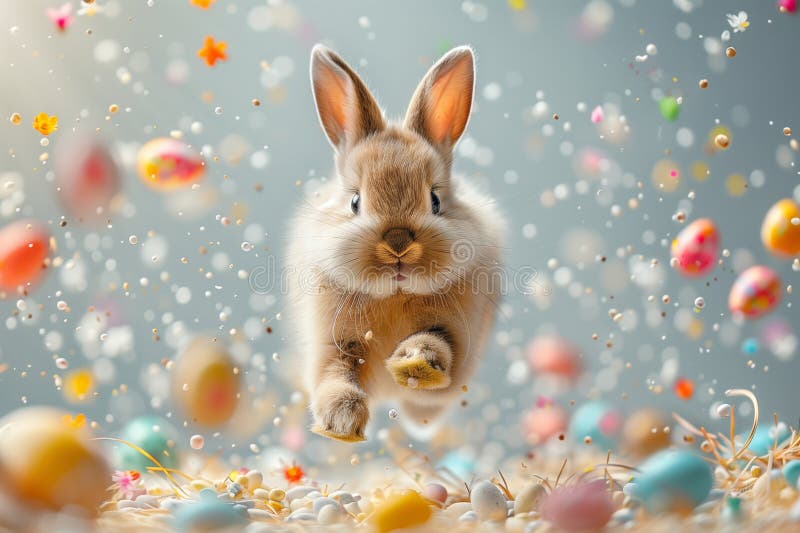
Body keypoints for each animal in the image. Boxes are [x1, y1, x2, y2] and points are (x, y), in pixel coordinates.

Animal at [286, 44, 504, 442]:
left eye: (435, 201)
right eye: (355, 202)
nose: (398, 245)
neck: (395, 295)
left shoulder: (459, 338)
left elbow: (437, 344)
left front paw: (415, 364)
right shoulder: (333, 343)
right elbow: (335, 375)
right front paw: (340, 423)